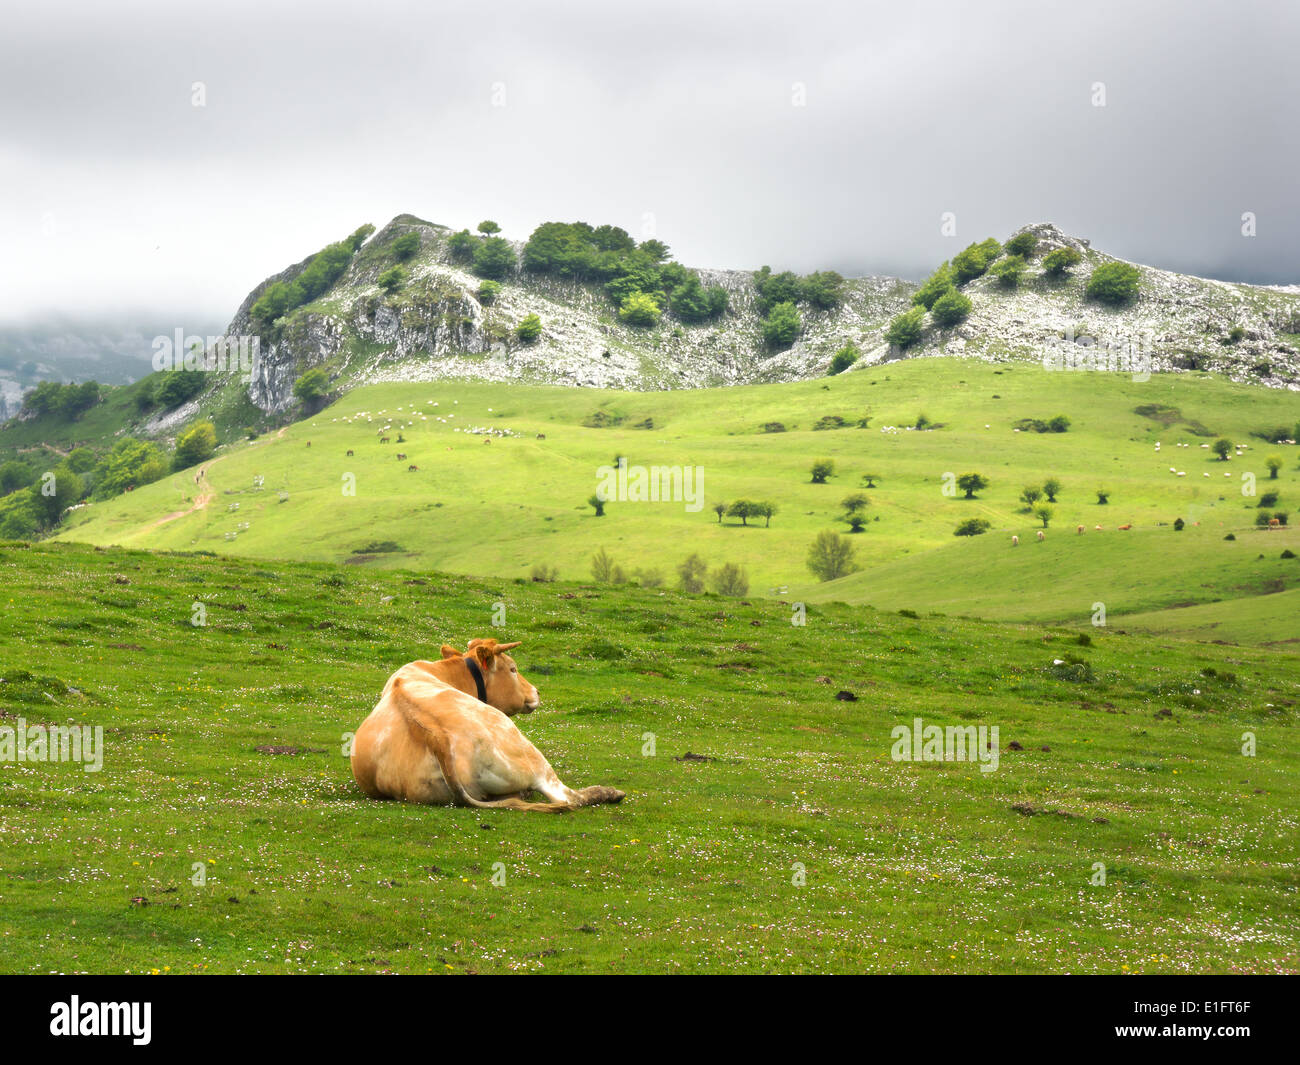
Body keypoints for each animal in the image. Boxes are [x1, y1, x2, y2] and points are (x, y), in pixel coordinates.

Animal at [350, 640, 624, 813]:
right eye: (513, 669)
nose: (536, 691)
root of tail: (436, 736)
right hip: (528, 752)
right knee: (568, 797)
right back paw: (609, 792)